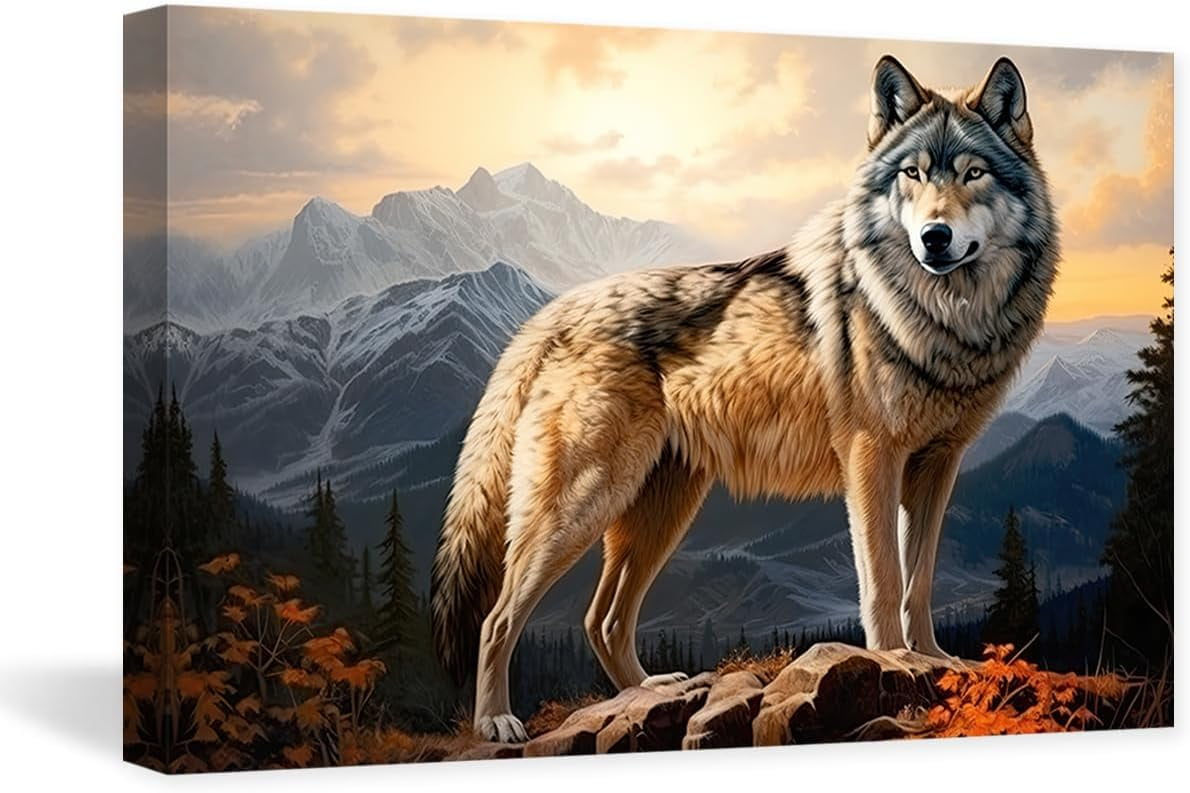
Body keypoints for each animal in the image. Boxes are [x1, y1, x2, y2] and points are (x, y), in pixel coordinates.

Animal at [431, 55, 1058, 742]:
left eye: (972, 174)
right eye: (912, 174)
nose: (935, 237)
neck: (943, 317)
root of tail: (552, 313)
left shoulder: (937, 466)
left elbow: (920, 581)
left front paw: (935, 661)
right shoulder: (872, 458)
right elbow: (885, 582)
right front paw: (895, 661)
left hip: (661, 510)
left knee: (603, 618)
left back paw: (650, 692)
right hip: (584, 505)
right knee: (499, 618)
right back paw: (496, 721)